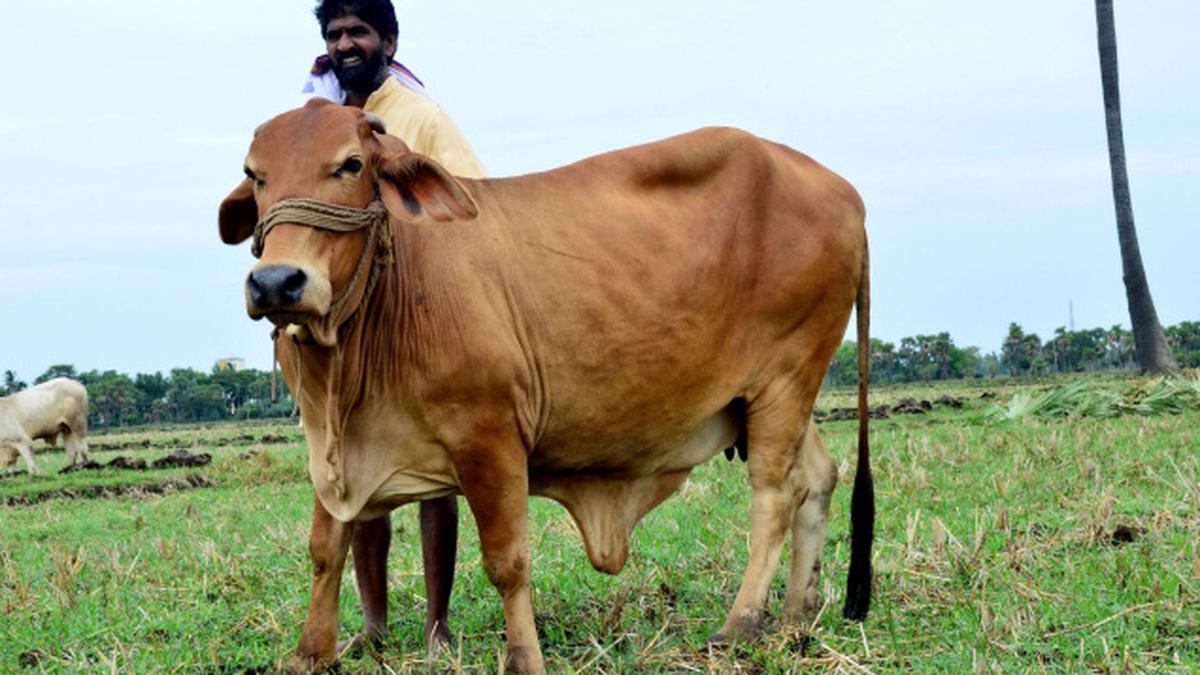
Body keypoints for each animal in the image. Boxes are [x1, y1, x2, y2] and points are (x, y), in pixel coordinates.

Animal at [219, 98, 873, 673]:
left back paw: (742, 623)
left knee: (775, 494)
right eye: (254, 174)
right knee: (818, 477)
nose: (277, 282)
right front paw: (310, 653)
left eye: (351, 164)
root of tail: (846, 191)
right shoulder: (331, 449)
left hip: (786, 376)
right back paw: (795, 617)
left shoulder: (490, 438)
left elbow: (506, 562)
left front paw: (523, 658)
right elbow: (326, 549)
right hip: (767, 396)